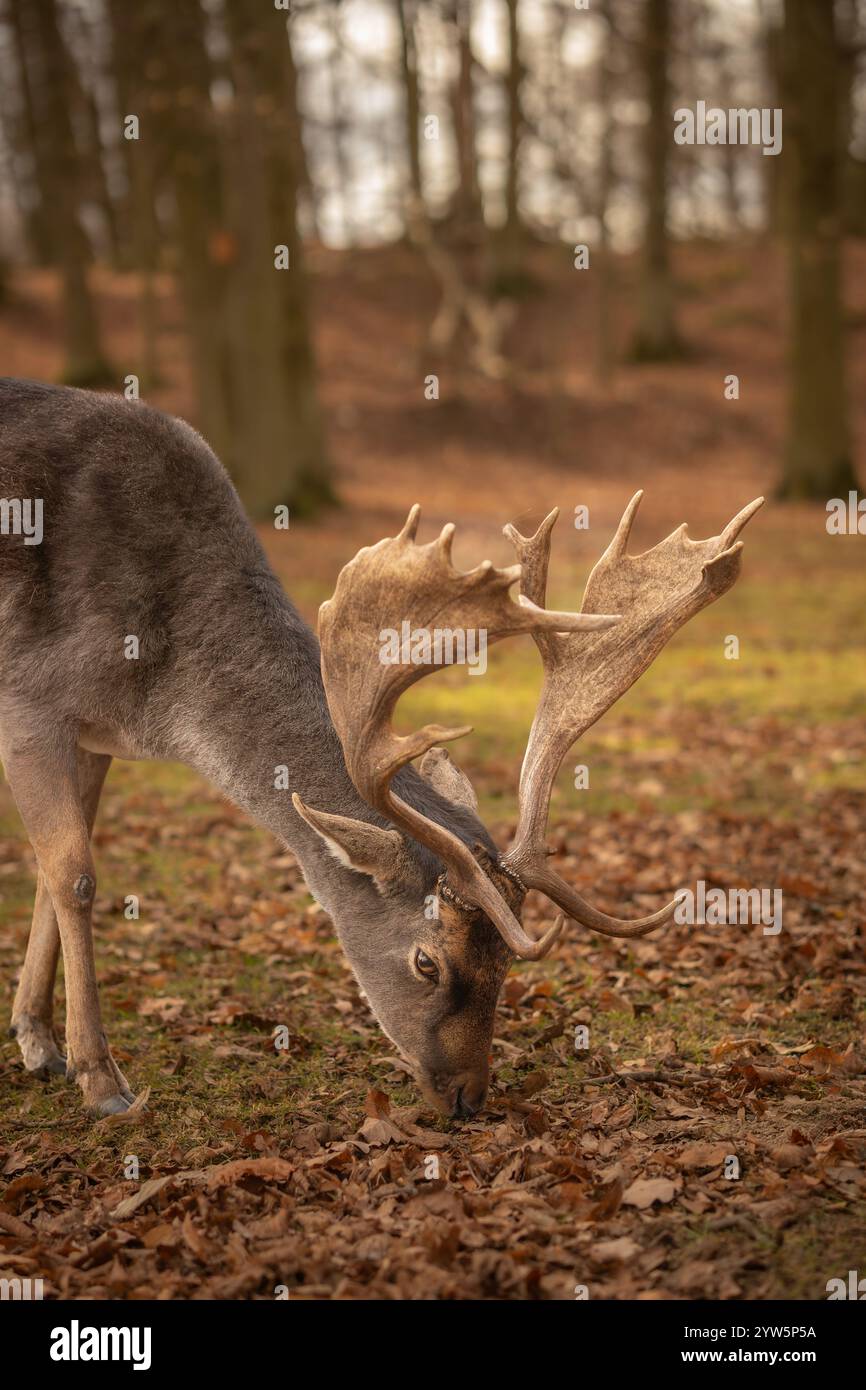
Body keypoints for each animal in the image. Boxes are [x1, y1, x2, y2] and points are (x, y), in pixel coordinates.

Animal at [0, 377, 763, 1118]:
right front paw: (100, 1081)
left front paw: (37, 1041)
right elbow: (75, 875)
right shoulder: (30, 703)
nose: (469, 1099)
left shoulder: (95, 734)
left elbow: (48, 874)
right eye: (428, 961)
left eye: (505, 965)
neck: (156, 694)